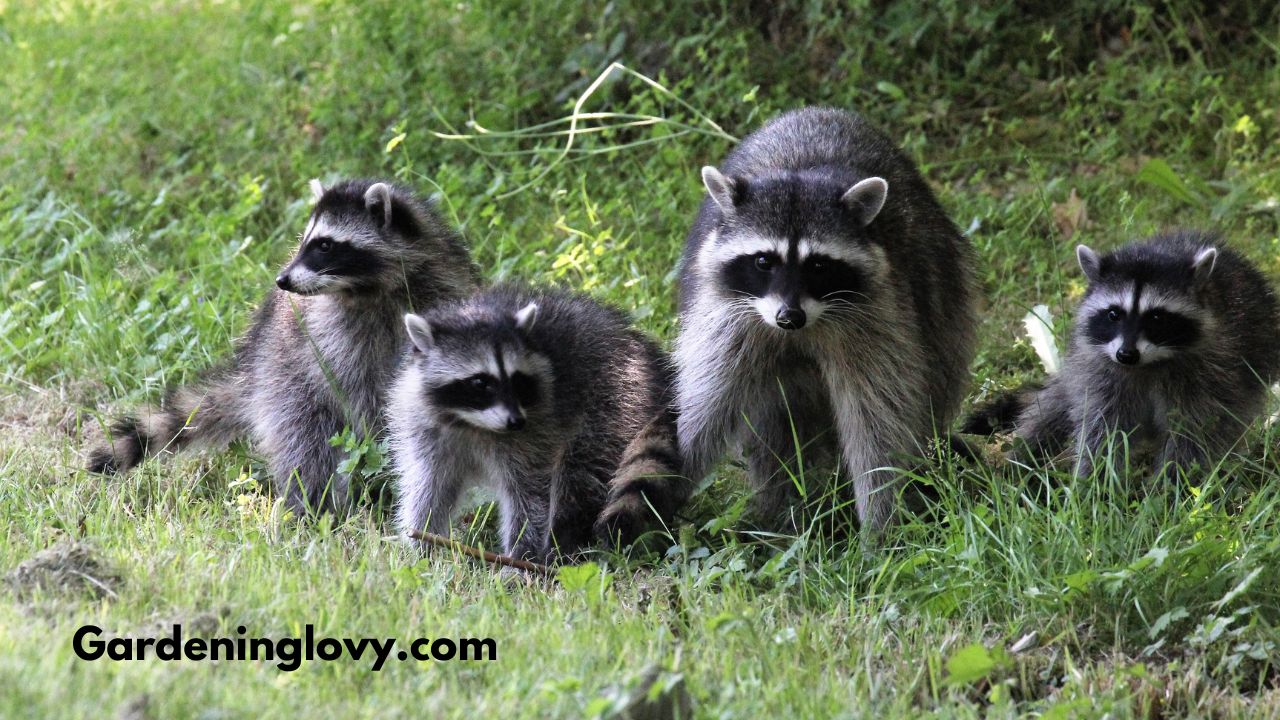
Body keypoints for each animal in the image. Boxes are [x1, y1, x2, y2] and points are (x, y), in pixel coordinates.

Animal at [87, 179, 478, 513]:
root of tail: (252, 373)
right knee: (307, 442)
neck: (368, 289)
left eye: (325, 244)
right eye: (304, 240)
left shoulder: (440, 286)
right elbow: (355, 391)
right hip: (287, 380)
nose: (282, 280)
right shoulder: (331, 336)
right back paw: (312, 505)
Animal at [388, 285, 673, 562]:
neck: (471, 422)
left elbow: (530, 495)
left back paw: (564, 543)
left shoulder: (536, 431)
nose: (516, 421)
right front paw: (420, 546)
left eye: (517, 380)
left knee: (578, 474)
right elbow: (429, 487)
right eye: (480, 382)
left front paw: (521, 555)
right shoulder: (425, 429)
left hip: (615, 399)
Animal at [674, 107, 978, 533]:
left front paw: (881, 523)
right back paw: (781, 510)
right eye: (764, 261)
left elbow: (879, 418)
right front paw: (661, 486)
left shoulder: (878, 315)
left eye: (818, 265)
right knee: (774, 423)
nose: (789, 317)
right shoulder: (727, 317)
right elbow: (706, 405)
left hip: (946, 286)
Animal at [992, 230, 1280, 476]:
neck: (1147, 364)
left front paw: (1169, 486)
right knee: (1053, 406)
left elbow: (1196, 432)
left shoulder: (1213, 371)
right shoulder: (1099, 371)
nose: (1126, 354)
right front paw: (1096, 480)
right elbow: (1103, 427)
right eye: (1113, 314)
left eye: (1156, 318)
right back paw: (1023, 455)